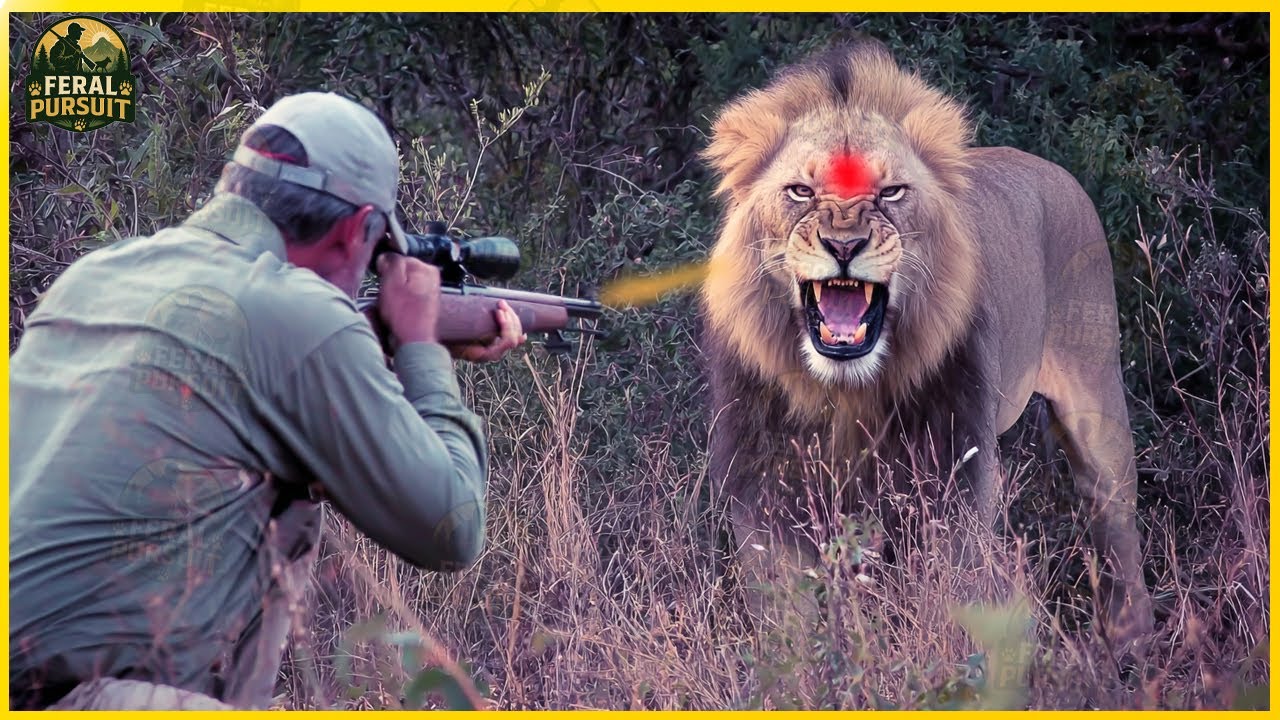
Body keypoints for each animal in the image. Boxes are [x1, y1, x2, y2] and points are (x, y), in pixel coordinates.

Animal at [700, 39, 1154, 648]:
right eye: (800, 191)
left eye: (891, 191)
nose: (844, 244)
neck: (845, 393)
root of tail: (1053, 168)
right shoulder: (766, 494)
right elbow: (788, 629)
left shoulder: (949, 485)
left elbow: (946, 606)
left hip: (1097, 399)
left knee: (1115, 518)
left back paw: (1131, 643)